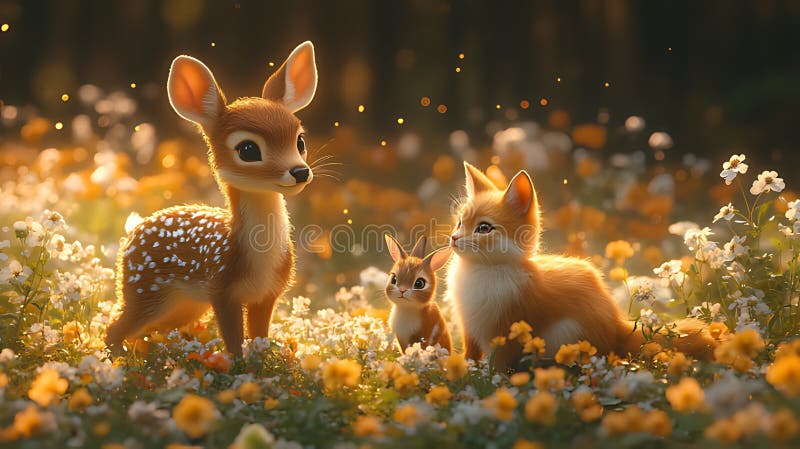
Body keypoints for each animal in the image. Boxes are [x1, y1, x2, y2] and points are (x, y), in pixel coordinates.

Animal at [105, 41, 320, 356]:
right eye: (248, 149)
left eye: (300, 141)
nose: (300, 172)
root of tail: (133, 227)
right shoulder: (221, 290)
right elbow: (233, 341)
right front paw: (238, 364)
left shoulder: (268, 293)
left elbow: (259, 335)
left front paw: (263, 360)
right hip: (145, 289)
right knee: (113, 327)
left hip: (186, 305)